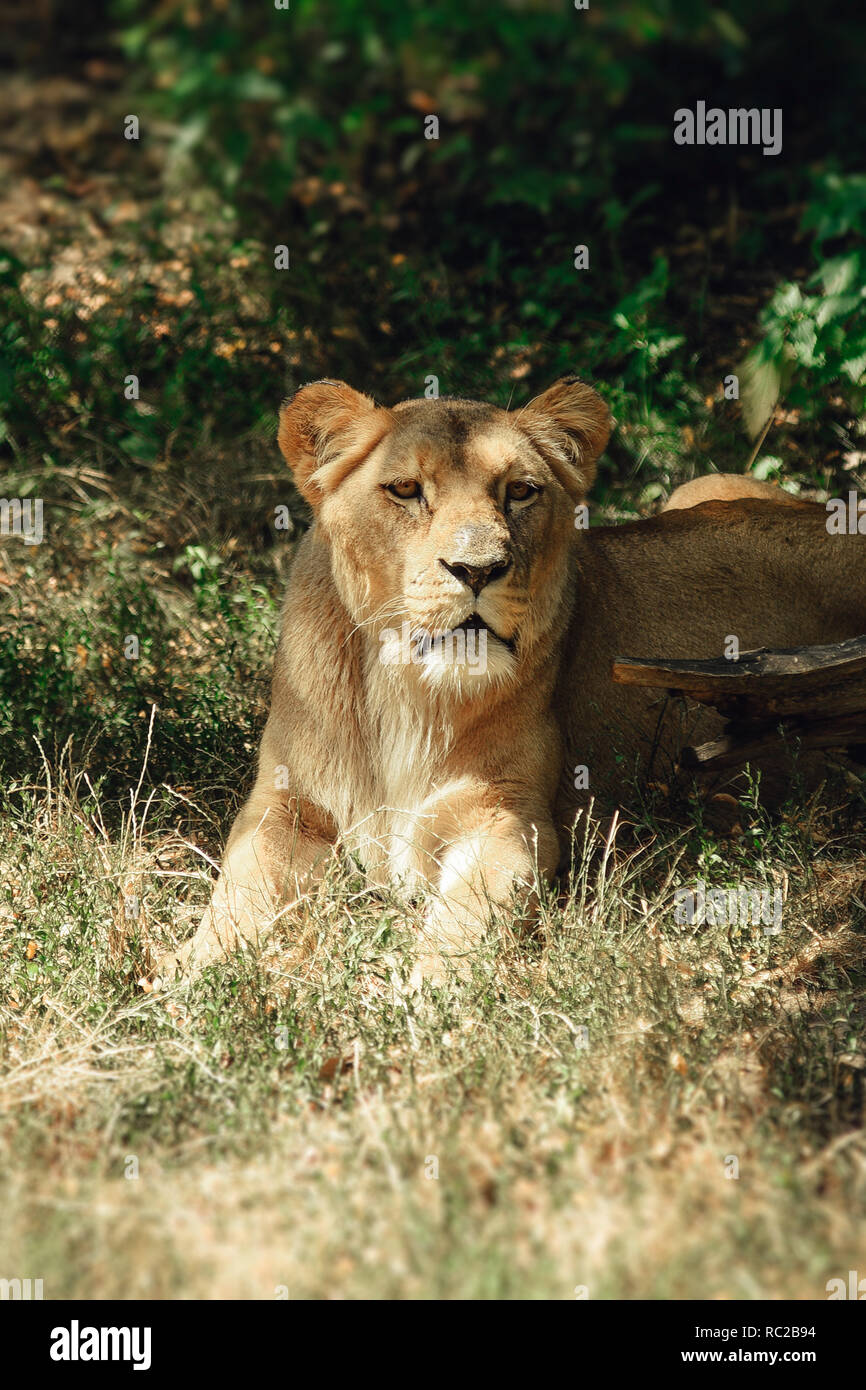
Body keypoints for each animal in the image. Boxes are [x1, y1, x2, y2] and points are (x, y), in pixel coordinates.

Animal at [157, 378, 866, 981]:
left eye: (520, 492)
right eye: (406, 490)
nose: (477, 570)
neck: (407, 688)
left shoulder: (508, 817)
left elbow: (465, 917)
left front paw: (424, 991)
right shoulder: (284, 805)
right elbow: (239, 896)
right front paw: (188, 978)